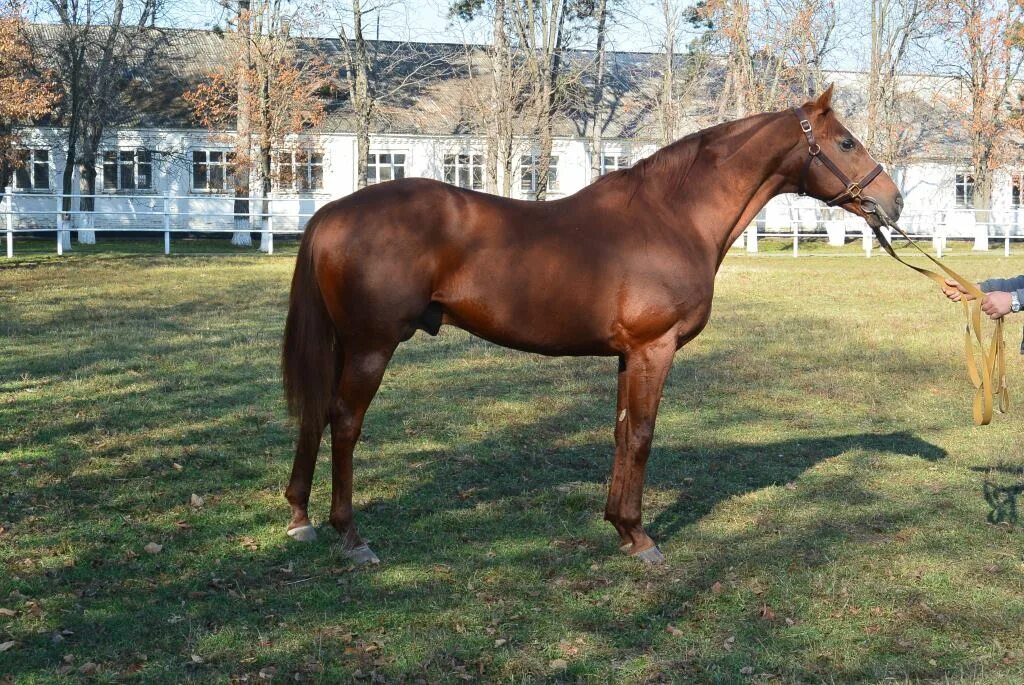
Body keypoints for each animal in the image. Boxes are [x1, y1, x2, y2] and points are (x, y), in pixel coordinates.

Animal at [282, 88, 905, 565]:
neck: (673, 217)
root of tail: (331, 212)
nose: (893, 201)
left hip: (343, 345)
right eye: (846, 142)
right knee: (344, 421)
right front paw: (641, 537)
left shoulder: (629, 355)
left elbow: (622, 433)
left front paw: (620, 527)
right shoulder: (655, 349)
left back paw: (299, 516)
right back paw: (351, 536)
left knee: (315, 414)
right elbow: (644, 436)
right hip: (371, 345)